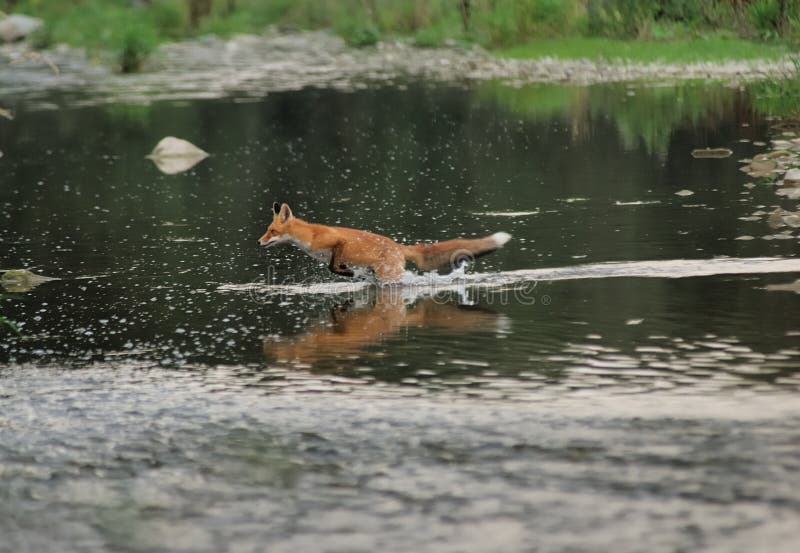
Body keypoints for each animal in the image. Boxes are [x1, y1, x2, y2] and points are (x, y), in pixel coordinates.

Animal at [258, 202, 512, 282]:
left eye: (271, 231)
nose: (259, 242)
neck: (310, 236)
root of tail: (398, 245)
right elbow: (335, 267)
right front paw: (350, 273)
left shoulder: (337, 242)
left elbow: (333, 266)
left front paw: (348, 273)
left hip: (389, 274)